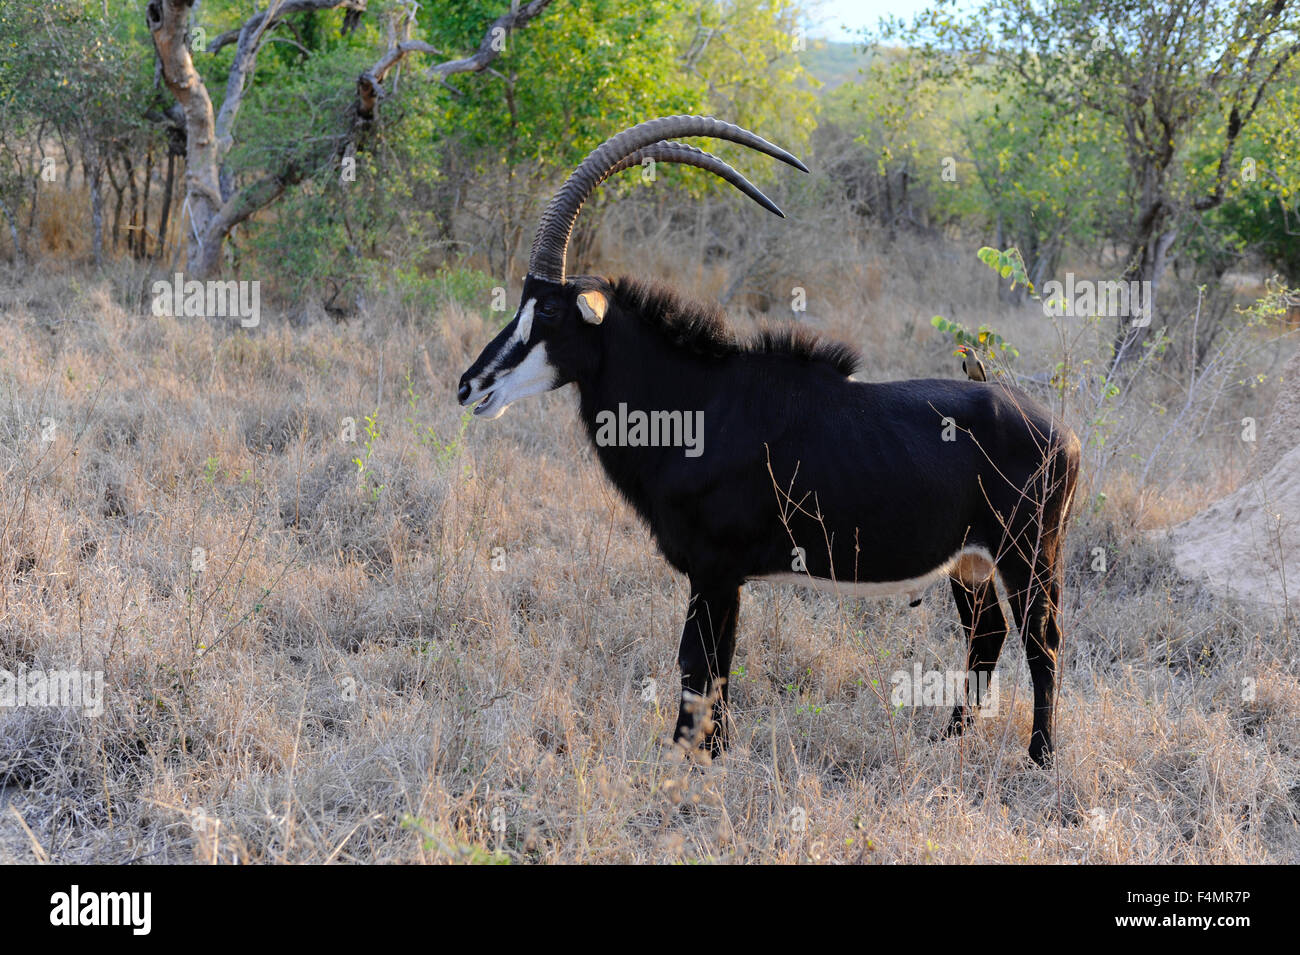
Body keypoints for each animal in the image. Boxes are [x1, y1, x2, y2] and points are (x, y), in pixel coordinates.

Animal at [458, 116, 1080, 766]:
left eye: (550, 312)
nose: (470, 384)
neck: (697, 402)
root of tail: (1064, 436)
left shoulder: (714, 570)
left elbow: (700, 663)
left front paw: (693, 758)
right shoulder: (721, 577)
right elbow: (714, 665)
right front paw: (714, 751)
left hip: (1029, 555)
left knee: (1043, 642)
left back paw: (1040, 757)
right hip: (970, 564)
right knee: (989, 634)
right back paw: (948, 738)